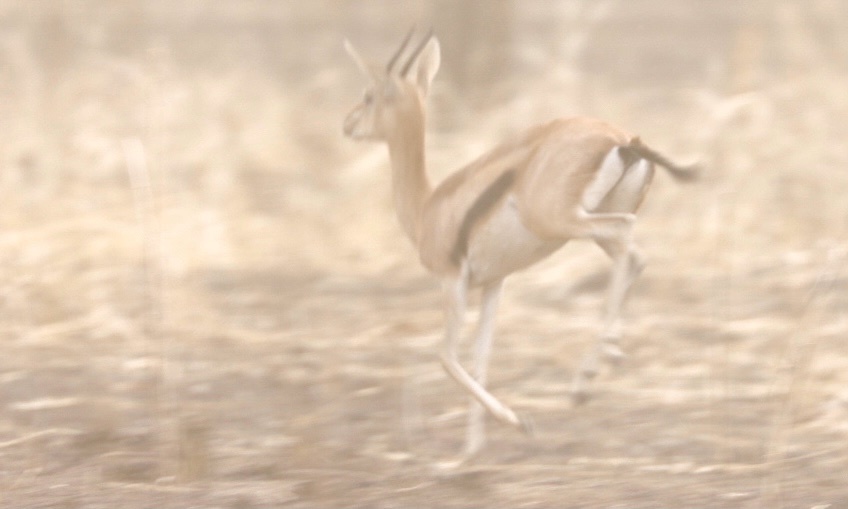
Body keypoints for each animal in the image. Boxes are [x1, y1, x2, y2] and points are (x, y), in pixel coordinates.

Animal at [343, 31, 699, 462]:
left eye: (370, 95)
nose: (347, 124)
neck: (427, 207)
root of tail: (623, 141)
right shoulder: (493, 283)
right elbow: (481, 359)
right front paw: (471, 452)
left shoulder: (452, 279)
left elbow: (446, 357)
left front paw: (515, 423)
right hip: (589, 226)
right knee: (634, 257)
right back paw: (599, 364)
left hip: (568, 222)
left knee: (629, 243)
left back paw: (588, 376)